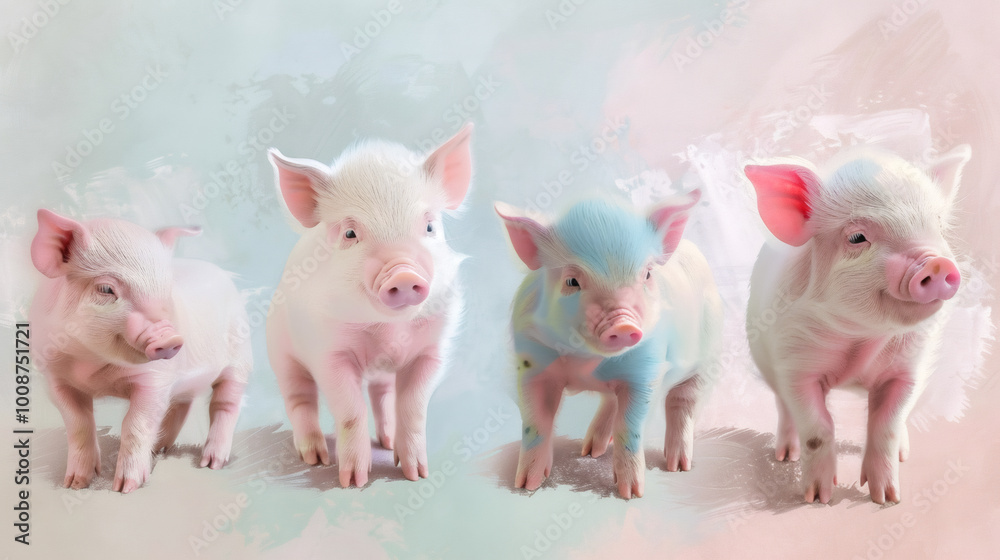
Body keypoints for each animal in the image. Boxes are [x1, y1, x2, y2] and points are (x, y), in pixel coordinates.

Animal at [29, 210, 252, 493]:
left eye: (166, 289)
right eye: (106, 289)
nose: (171, 337)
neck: (92, 364)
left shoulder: (155, 378)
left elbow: (135, 424)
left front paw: (125, 488)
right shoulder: (54, 377)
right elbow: (78, 423)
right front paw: (75, 484)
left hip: (241, 358)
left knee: (225, 404)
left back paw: (211, 464)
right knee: (181, 405)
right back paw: (159, 449)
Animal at [265, 124, 472, 488]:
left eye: (430, 226)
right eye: (350, 233)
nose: (403, 272)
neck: (388, 332)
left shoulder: (432, 351)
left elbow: (413, 407)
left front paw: (417, 474)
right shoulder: (328, 355)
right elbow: (350, 411)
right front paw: (353, 481)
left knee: (383, 395)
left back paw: (387, 443)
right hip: (280, 353)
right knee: (299, 399)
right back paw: (315, 457)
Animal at [495, 190, 722, 499]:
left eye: (647, 274)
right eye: (572, 280)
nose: (623, 325)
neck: (585, 363)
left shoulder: (647, 369)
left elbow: (631, 426)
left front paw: (631, 494)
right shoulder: (532, 364)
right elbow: (535, 423)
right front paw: (525, 485)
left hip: (708, 358)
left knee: (683, 402)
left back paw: (678, 466)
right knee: (610, 401)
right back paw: (590, 451)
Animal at [744, 145, 971, 504]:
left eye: (936, 225)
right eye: (857, 237)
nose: (936, 263)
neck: (860, 338)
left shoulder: (908, 371)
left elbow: (887, 425)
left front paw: (887, 499)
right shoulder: (794, 364)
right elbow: (817, 427)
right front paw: (818, 499)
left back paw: (904, 454)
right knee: (784, 409)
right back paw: (786, 456)